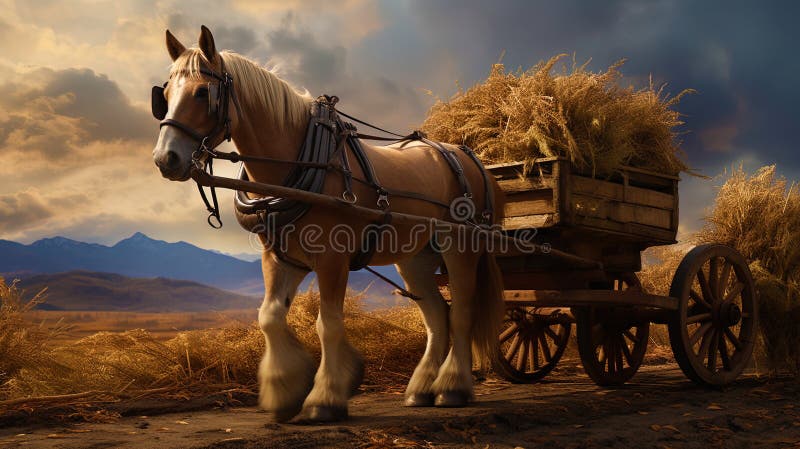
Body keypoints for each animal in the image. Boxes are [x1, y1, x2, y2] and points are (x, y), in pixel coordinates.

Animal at [152, 26, 505, 423]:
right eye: (164, 95)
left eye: (202, 93)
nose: (165, 159)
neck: (300, 166)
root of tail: (469, 157)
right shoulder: (280, 258)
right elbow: (269, 317)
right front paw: (285, 389)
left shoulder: (333, 260)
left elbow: (329, 324)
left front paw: (325, 396)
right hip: (415, 258)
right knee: (436, 315)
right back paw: (421, 388)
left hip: (460, 249)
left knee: (460, 312)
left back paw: (452, 386)